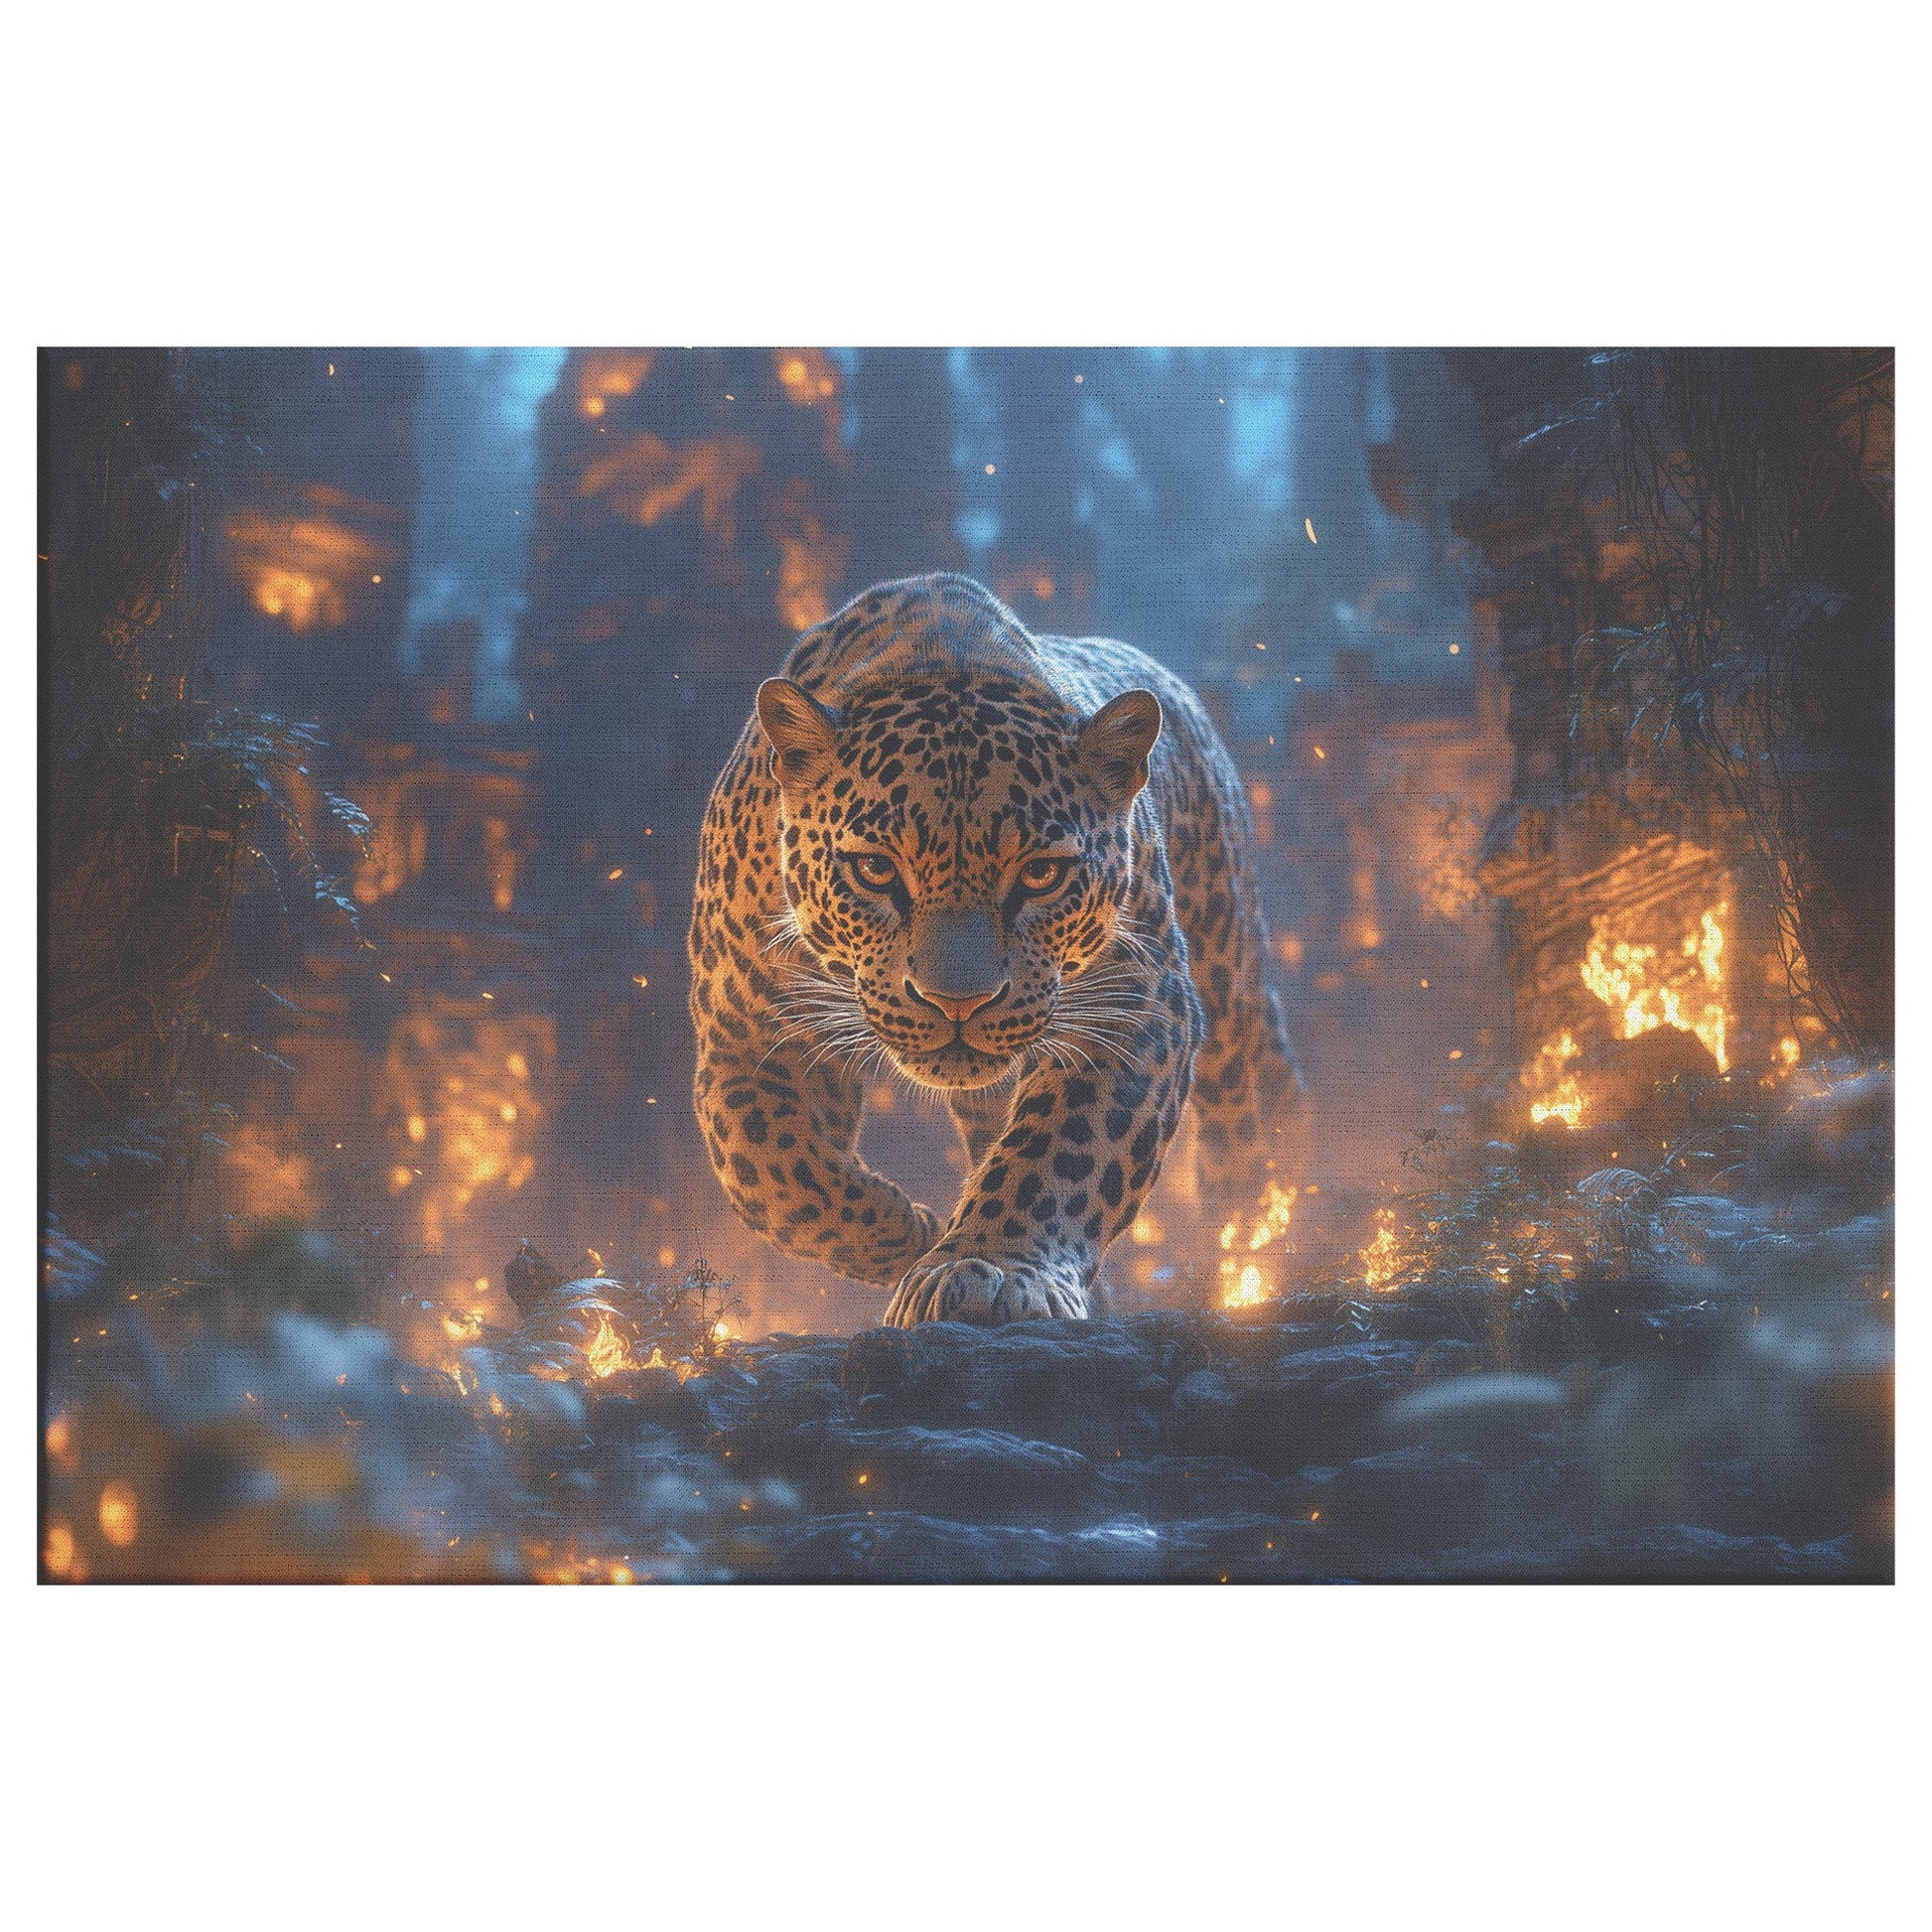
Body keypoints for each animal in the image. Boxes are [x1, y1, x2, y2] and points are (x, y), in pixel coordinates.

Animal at [688, 572, 1308, 1327]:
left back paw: (1259, 1247)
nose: (958, 1002)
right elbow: (774, 1172)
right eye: (875, 870)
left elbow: (1060, 1154)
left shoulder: (1137, 1005)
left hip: (1230, 973)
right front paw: (915, 1237)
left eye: (1040, 874)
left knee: (1255, 1117)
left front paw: (988, 1267)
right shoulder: (749, 1033)